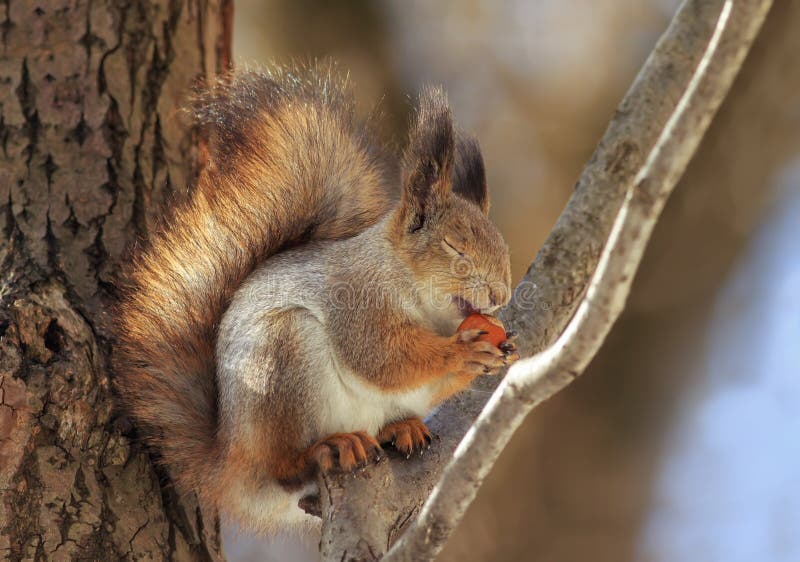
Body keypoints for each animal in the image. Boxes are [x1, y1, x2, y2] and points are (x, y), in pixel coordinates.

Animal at [113, 65, 519, 533]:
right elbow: (382, 358)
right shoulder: (357, 301)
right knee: (283, 467)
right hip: (282, 359)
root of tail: (229, 468)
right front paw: (462, 351)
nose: (501, 293)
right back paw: (326, 449)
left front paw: (498, 353)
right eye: (455, 247)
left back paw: (398, 429)